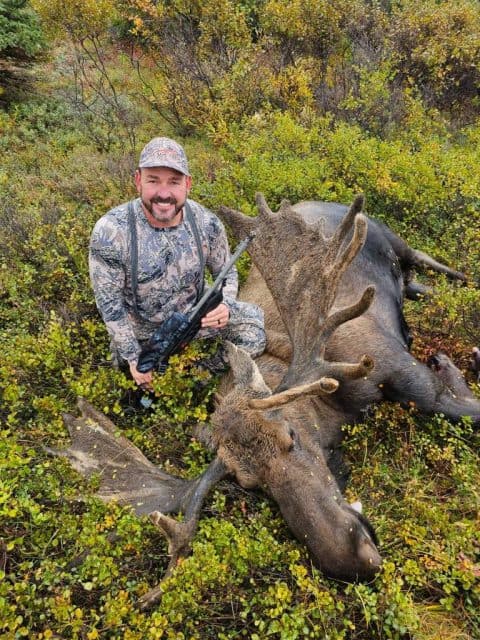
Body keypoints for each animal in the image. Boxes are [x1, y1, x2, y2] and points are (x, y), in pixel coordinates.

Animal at [53, 194, 479, 609]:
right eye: (253, 486)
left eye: (292, 435)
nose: (353, 561)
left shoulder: (396, 366)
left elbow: (462, 408)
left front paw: (453, 361)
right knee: (415, 283)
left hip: (390, 237)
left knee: (425, 261)